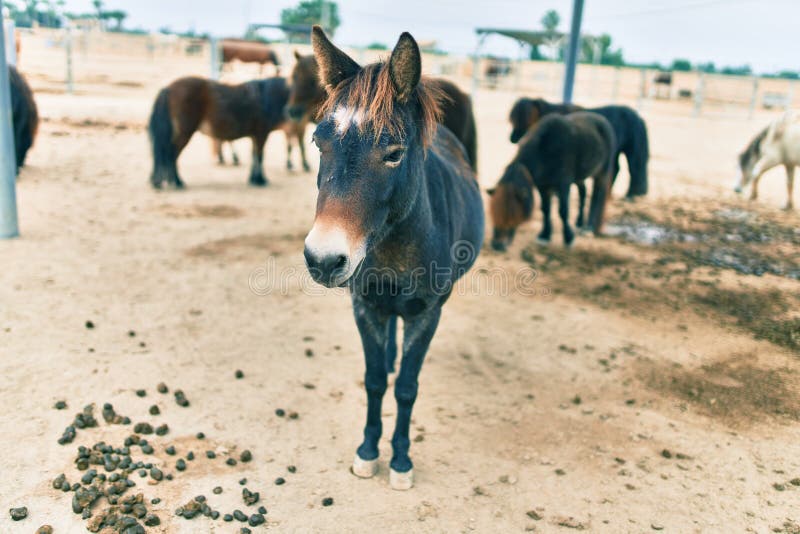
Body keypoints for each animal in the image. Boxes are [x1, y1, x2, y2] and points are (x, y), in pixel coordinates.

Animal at [147, 76, 288, 188]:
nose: (291, 112)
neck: (264, 98)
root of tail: (168, 88)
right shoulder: (261, 134)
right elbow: (259, 156)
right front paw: (260, 180)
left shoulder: (255, 136)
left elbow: (254, 156)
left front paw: (254, 179)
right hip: (184, 133)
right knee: (172, 155)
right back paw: (177, 182)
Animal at [489, 112, 615, 251]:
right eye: (493, 213)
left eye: (512, 215)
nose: (497, 245)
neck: (545, 150)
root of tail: (602, 119)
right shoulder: (543, 187)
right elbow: (545, 210)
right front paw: (544, 235)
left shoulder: (564, 184)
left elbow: (563, 211)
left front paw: (568, 238)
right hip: (579, 177)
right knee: (582, 192)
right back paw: (579, 222)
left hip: (602, 172)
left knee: (597, 195)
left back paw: (588, 228)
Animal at [509, 97, 649, 198]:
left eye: (526, 120)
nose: (512, 139)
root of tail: (638, 117)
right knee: (616, 170)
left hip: (631, 152)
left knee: (634, 169)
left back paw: (630, 195)